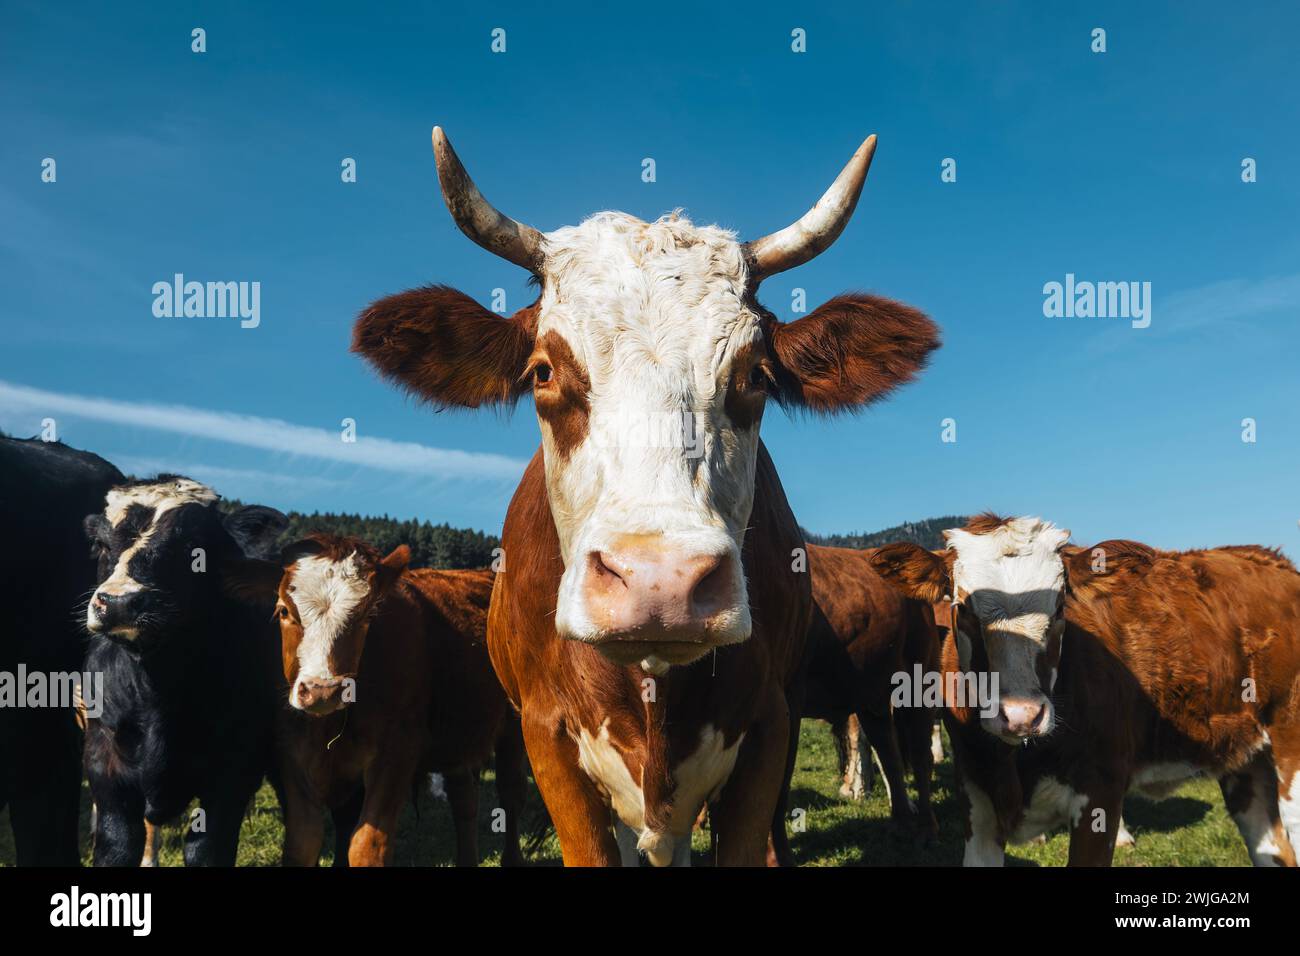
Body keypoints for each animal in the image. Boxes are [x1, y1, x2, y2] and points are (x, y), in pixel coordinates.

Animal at [81, 475, 287, 866]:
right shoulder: (107, 769)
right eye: (100, 543)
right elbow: (117, 845)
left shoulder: (232, 775)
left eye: (195, 547)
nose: (118, 602)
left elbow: (206, 849)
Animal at [227, 533, 526, 866]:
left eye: (367, 615)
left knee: (510, 793)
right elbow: (303, 844)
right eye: (283, 611)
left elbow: (367, 845)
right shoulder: (293, 755)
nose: (322, 690)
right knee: (464, 801)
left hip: (514, 726)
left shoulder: (398, 750)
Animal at [803, 544, 941, 837]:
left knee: (919, 754)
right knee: (888, 751)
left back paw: (927, 824)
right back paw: (901, 821)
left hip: (920, 683)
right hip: (871, 697)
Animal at [870, 514, 1300, 866]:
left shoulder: (1101, 794)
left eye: (1061, 606)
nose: (1021, 716)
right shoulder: (976, 796)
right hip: (1245, 759)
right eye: (962, 607)